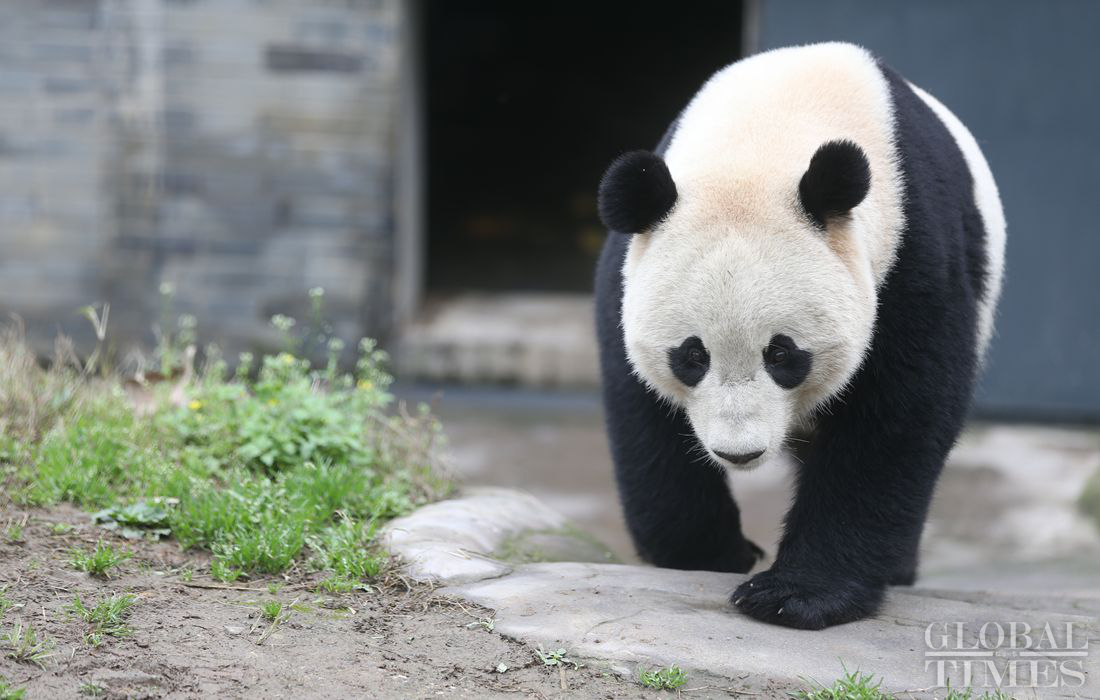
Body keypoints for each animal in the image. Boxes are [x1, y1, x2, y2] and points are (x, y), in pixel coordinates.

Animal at [594, 42, 1005, 630]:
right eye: (691, 357)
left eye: (783, 355)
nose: (739, 452)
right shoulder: (633, 265)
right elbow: (643, 412)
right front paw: (708, 553)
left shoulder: (910, 250)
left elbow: (898, 413)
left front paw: (795, 594)